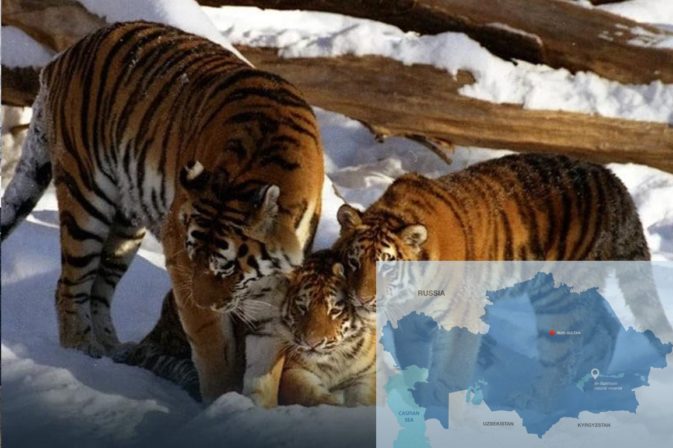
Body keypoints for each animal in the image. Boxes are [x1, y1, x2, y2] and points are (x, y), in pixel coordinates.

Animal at [0, 21, 324, 406]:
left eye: (229, 267)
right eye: (195, 256)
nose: (205, 302)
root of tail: (63, 56)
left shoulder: (276, 285)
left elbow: (265, 364)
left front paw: (256, 409)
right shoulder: (177, 249)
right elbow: (213, 347)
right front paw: (219, 403)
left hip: (125, 226)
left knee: (98, 288)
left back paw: (111, 351)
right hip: (86, 199)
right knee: (69, 286)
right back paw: (81, 354)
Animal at [278, 250, 376, 407]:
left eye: (335, 310)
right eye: (302, 307)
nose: (312, 343)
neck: (334, 362)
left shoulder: (368, 375)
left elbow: (364, 400)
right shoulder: (292, 371)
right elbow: (312, 395)